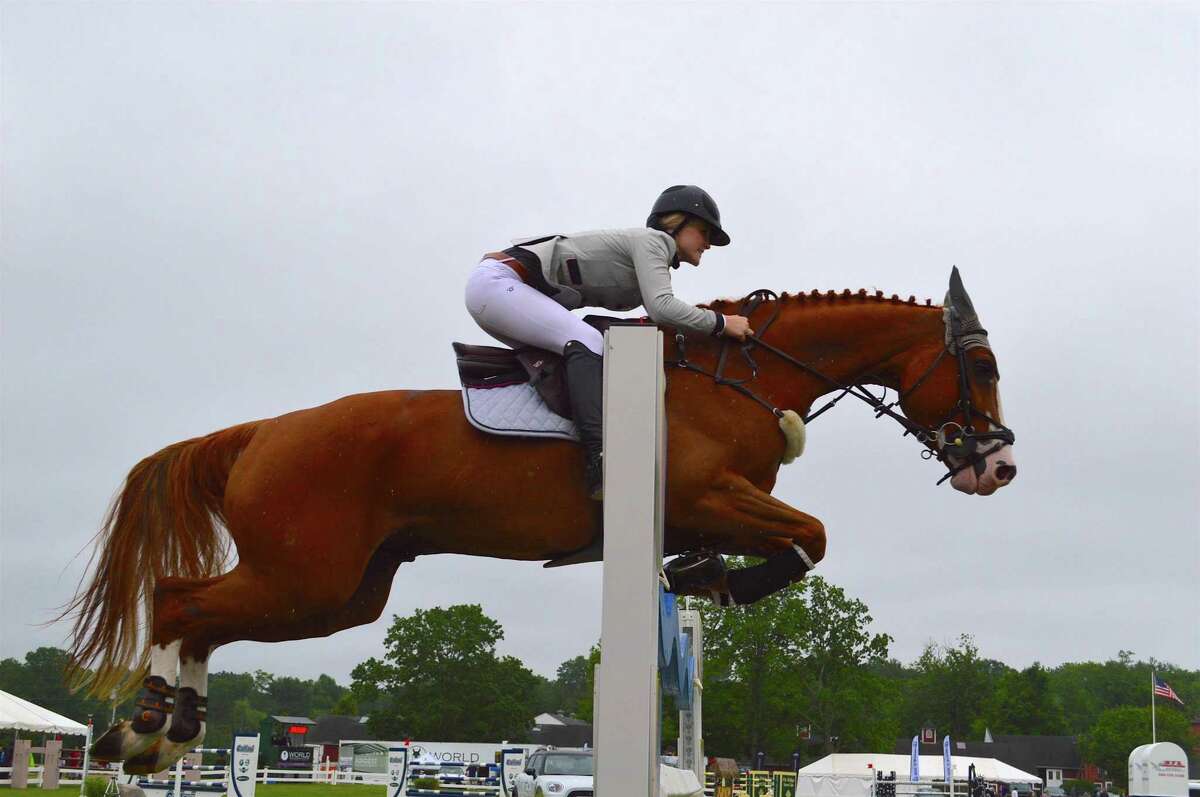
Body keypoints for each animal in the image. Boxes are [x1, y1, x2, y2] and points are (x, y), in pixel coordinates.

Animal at [63, 267, 1015, 773]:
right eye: (982, 367)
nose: (998, 466)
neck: (742, 377)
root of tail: (262, 431)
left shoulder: (719, 507)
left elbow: (793, 537)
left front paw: (704, 574)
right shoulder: (706, 495)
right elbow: (810, 535)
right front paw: (723, 582)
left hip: (338, 594)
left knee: (200, 614)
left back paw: (168, 731)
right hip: (306, 576)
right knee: (179, 600)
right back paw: (146, 727)